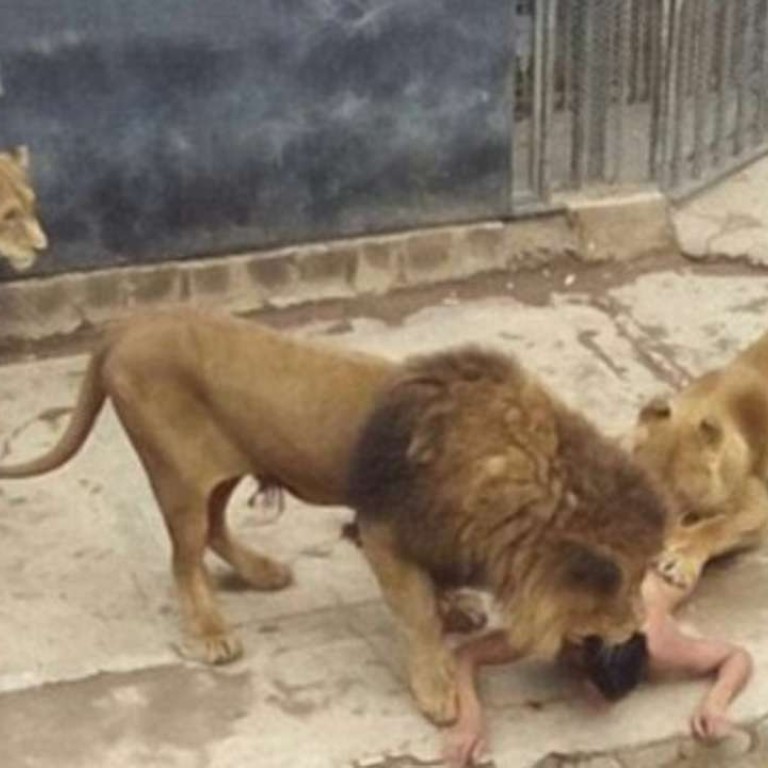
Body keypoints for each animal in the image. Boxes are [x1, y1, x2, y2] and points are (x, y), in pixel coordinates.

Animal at [0, 307, 397, 663]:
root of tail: (131, 323)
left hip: (221, 467)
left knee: (213, 529)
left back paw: (261, 572)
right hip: (177, 475)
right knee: (185, 560)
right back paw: (211, 634)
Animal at [347, 346, 668, 724]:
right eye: (629, 583)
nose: (641, 622)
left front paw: (456, 609)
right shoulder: (384, 529)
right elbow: (418, 613)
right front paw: (437, 689)